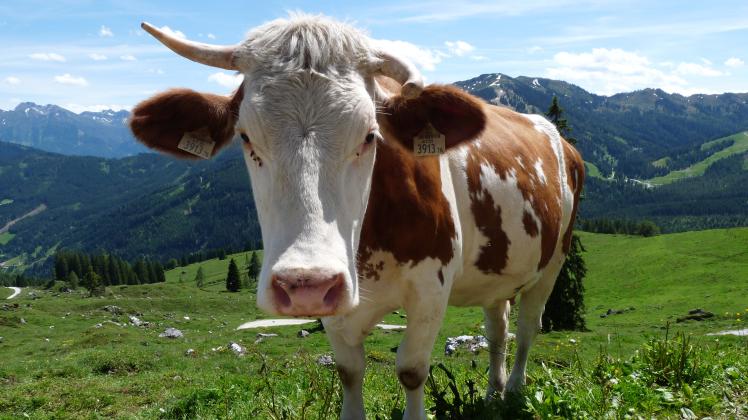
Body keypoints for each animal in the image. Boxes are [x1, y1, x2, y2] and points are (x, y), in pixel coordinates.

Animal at [129, 14, 584, 420]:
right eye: (245, 137)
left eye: (370, 135)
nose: (305, 283)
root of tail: (558, 137)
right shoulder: (337, 300)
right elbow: (349, 371)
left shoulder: (430, 290)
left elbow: (411, 370)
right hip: (497, 271)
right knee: (497, 329)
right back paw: (493, 394)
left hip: (554, 262)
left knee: (526, 328)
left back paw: (515, 392)